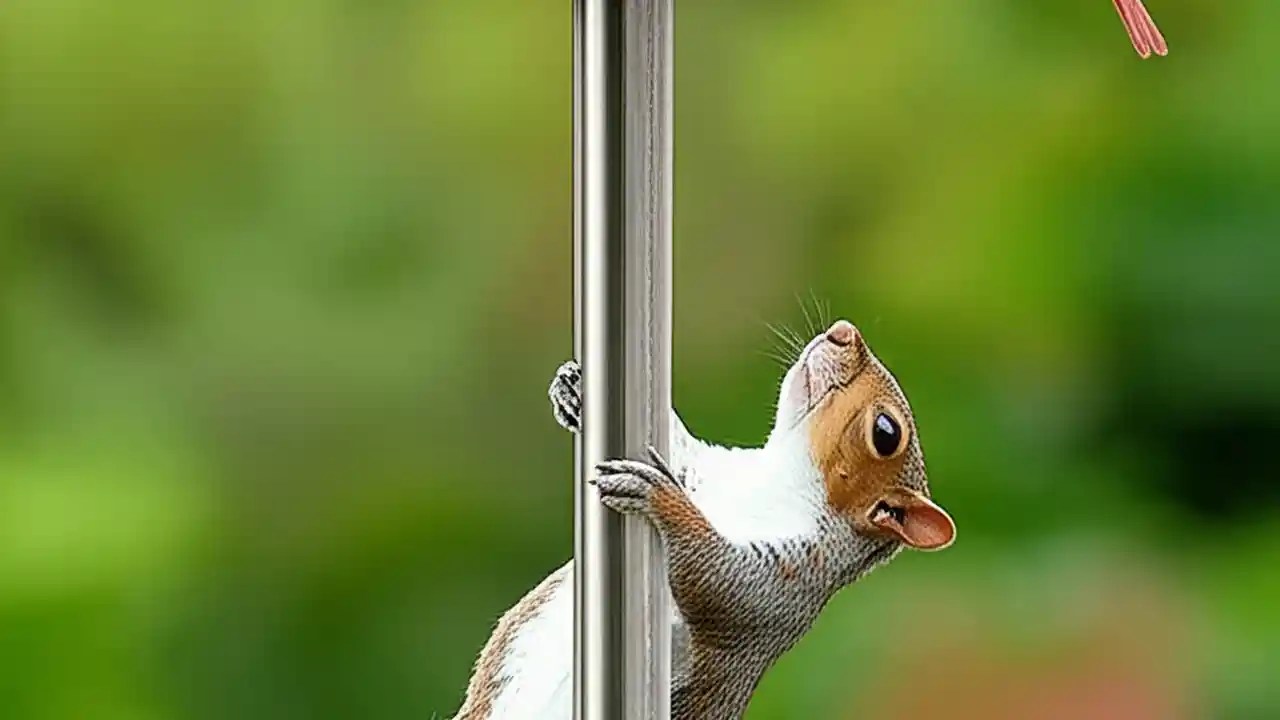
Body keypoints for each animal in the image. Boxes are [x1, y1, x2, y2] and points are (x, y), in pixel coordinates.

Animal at [451, 319, 956, 720]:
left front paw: (659, 496)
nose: (845, 331)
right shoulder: (703, 470)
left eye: (886, 433)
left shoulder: (783, 582)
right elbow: (678, 448)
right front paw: (571, 388)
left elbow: (714, 575)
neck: (767, 479)